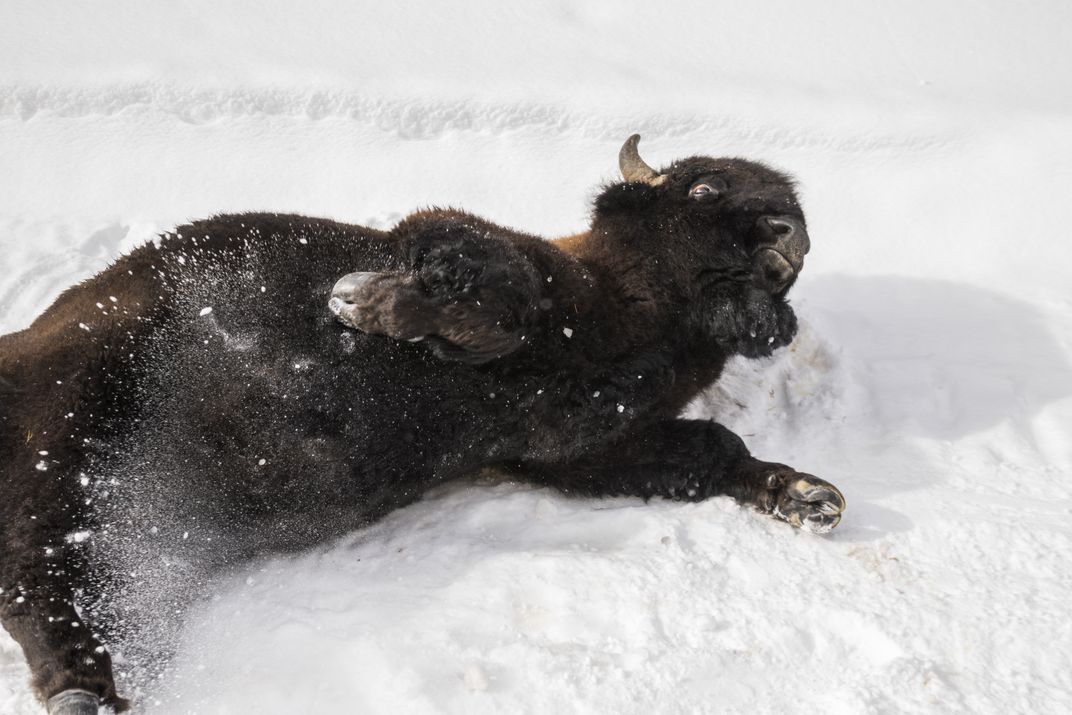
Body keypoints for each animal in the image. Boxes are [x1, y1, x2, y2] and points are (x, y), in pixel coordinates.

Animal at [0, 136, 844, 713]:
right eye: (703, 184)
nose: (782, 239)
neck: (639, 311)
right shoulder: (477, 249)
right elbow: (498, 299)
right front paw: (360, 301)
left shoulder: (586, 454)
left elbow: (716, 449)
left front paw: (810, 496)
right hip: (73, 420)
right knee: (34, 578)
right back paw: (82, 695)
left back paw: (91, 693)